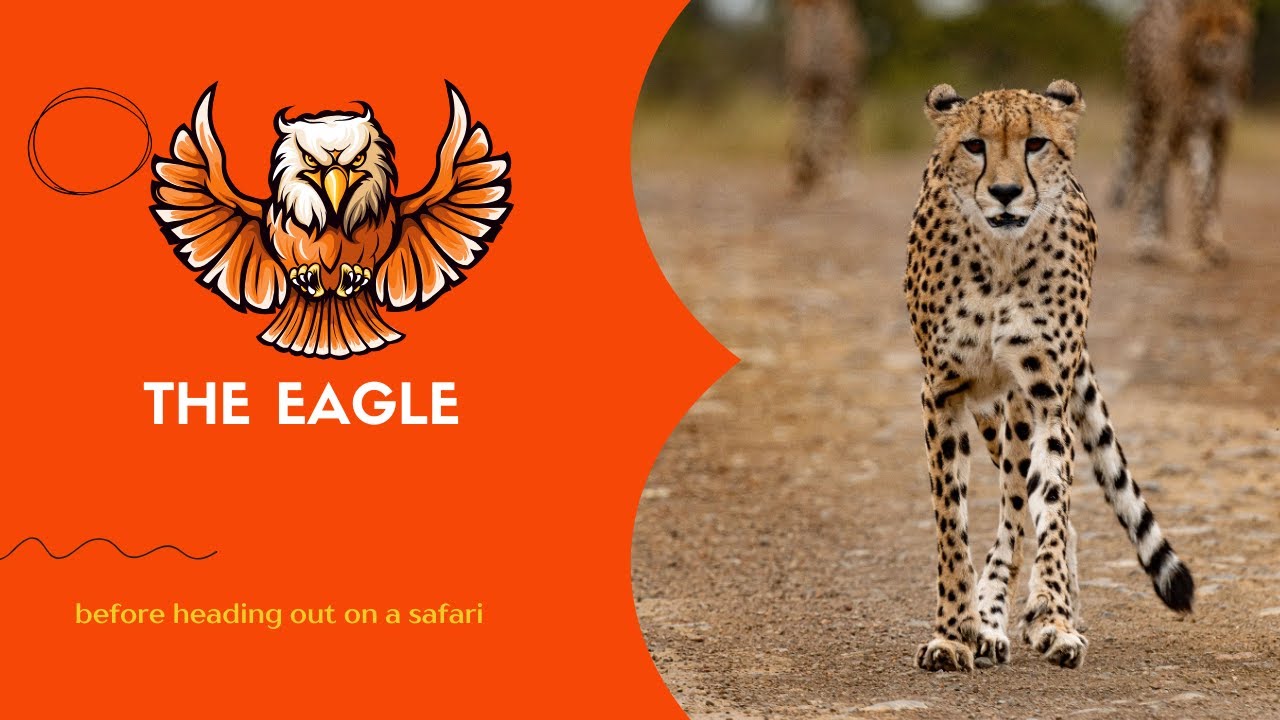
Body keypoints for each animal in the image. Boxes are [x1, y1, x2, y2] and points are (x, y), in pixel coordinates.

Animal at [784, 0, 866, 196]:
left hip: (850, 97)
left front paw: (829, 180)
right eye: (797, 22)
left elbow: (830, 134)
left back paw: (846, 175)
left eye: (820, 16)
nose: (808, 53)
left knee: (847, 133)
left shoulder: (836, 91)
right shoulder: (802, 89)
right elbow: (803, 132)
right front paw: (801, 178)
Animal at [904, 80, 1195, 672]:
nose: (1006, 192)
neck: (999, 256)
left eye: (1036, 142)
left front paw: (1054, 620)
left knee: (1022, 507)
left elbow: (1051, 507)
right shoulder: (943, 392)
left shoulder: (1043, 393)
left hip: (1018, 409)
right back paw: (989, 622)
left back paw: (1021, 613)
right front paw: (951, 632)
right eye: (974, 145)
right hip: (990, 414)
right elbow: (950, 523)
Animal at [1111, 0, 1256, 266]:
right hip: (1150, 114)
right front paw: (1201, 249)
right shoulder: (1194, 125)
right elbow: (1199, 187)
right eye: (1202, 25)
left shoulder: (1220, 127)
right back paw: (1145, 240)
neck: (1216, 76)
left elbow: (1212, 186)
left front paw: (1213, 240)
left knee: (1159, 175)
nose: (1216, 48)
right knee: (1145, 175)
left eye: (1228, 23)